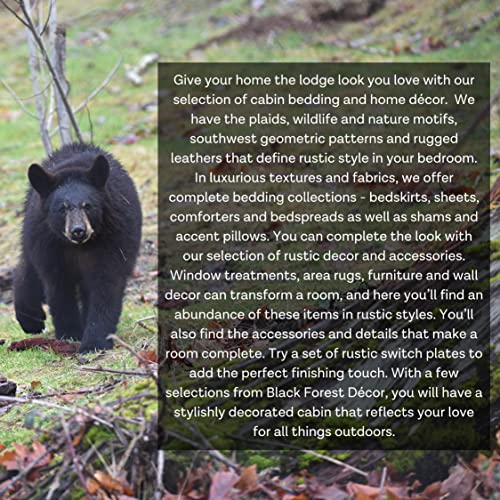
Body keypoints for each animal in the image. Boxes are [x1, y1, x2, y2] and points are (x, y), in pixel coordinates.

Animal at [13, 142, 142, 352]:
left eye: (88, 205)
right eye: (62, 208)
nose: (78, 230)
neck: (79, 248)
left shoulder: (115, 239)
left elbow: (106, 285)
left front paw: (94, 342)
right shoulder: (49, 245)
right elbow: (58, 287)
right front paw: (69, 334)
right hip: (32, 228)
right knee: (28, 266)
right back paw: (30, 318)